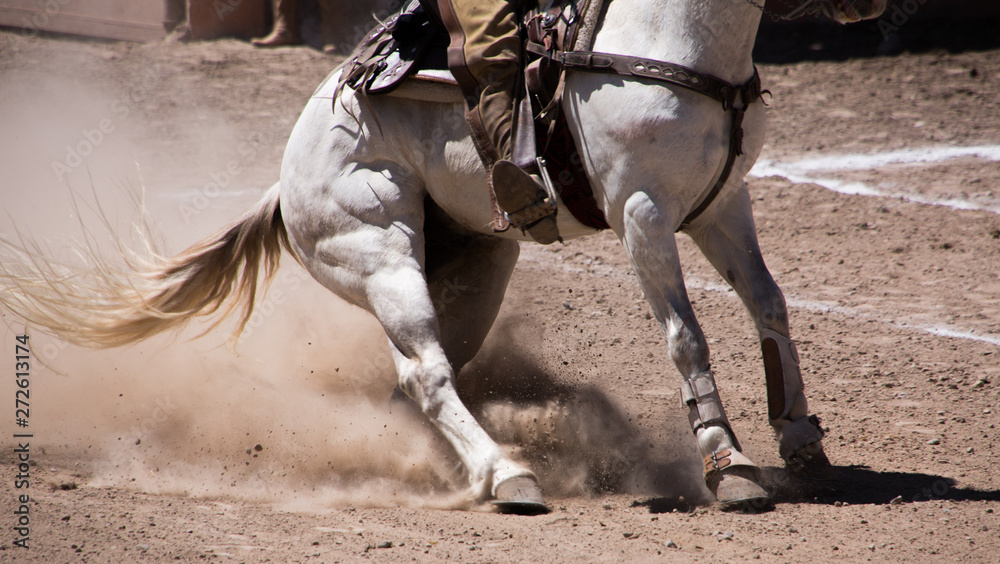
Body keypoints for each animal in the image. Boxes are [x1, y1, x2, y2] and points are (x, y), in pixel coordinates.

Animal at [0, 0, 887, 513]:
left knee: (422, 381)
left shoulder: (723, 203)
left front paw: (802, 440)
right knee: (424, 373)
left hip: (476, 269)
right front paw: (725, 460)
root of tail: (287, 179)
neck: (667, 39)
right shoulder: (644, 212)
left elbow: (769, 303)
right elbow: (686, 337)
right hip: (379, 257)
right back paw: (507, 475)